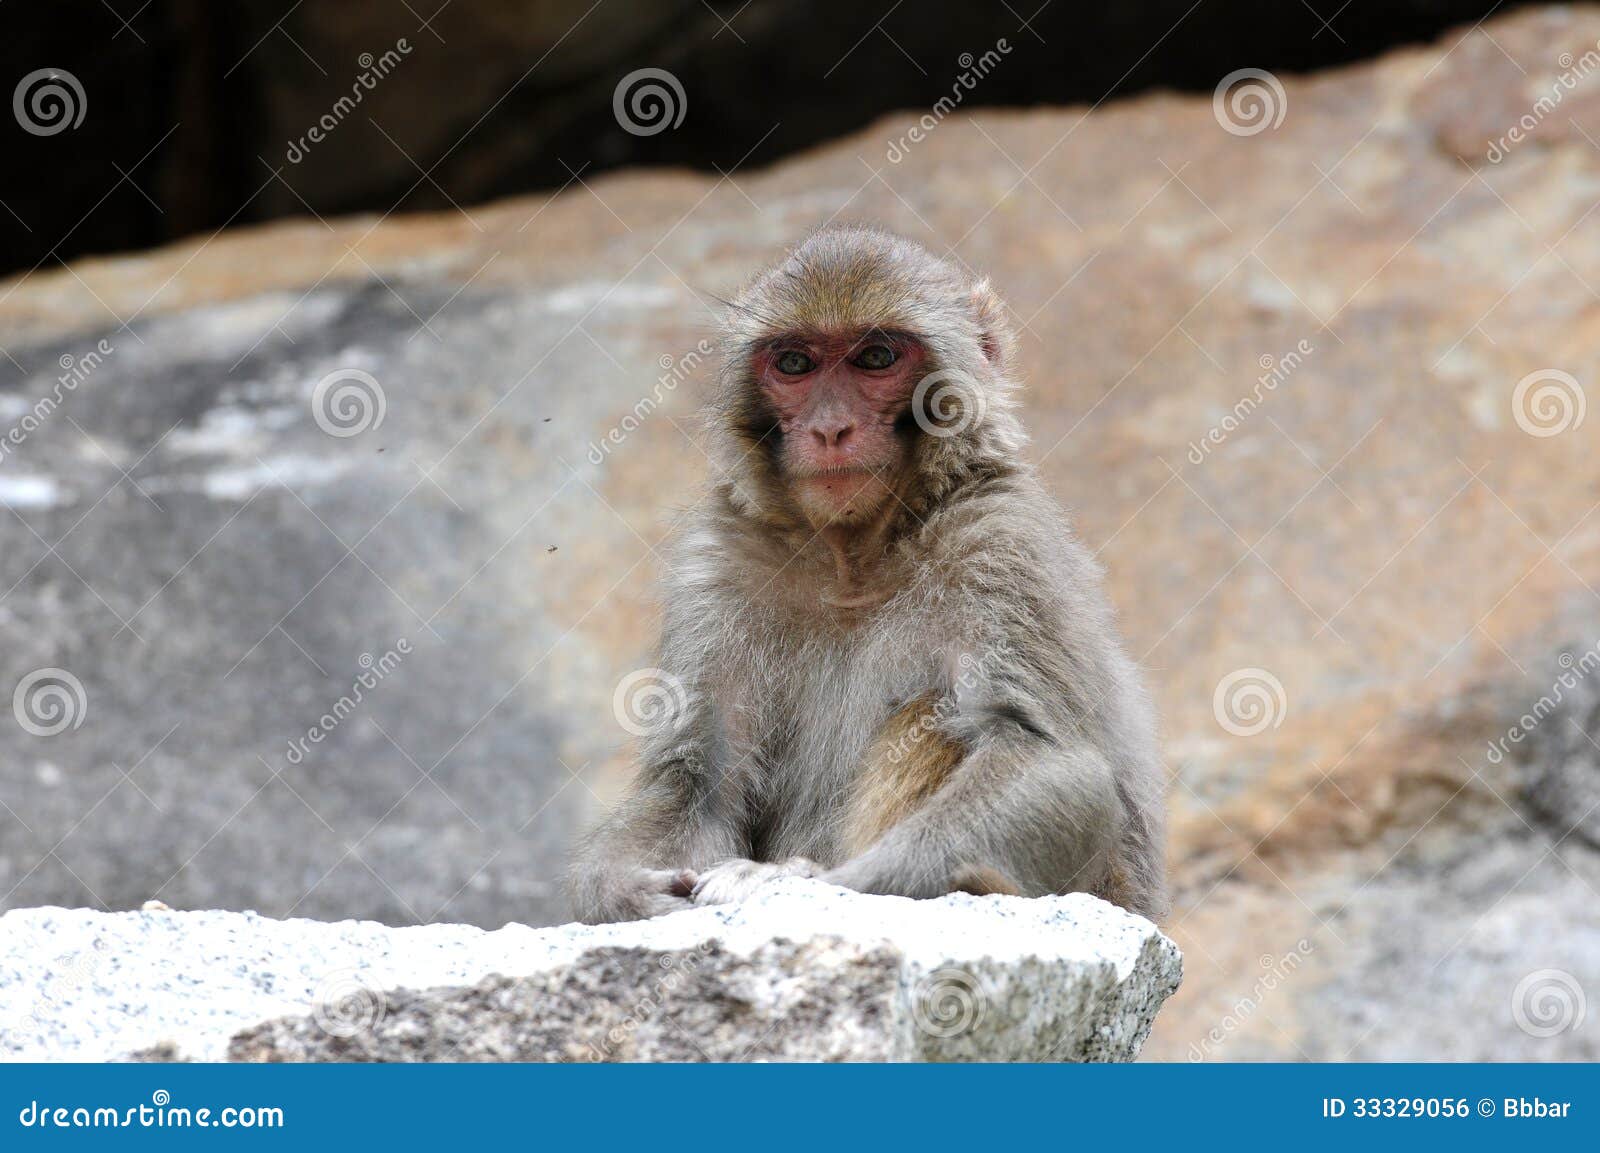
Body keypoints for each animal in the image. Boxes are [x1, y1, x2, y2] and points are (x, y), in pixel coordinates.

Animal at [569, 224, 1167, 924]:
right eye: (794, 364)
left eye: (876, 358)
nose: (831, 428)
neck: (853, 558)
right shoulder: (717, 564)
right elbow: (698, 782)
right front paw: (620, 891)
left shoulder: (999, 540)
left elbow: (1049, 757)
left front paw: (807, 884)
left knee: (935, 717)